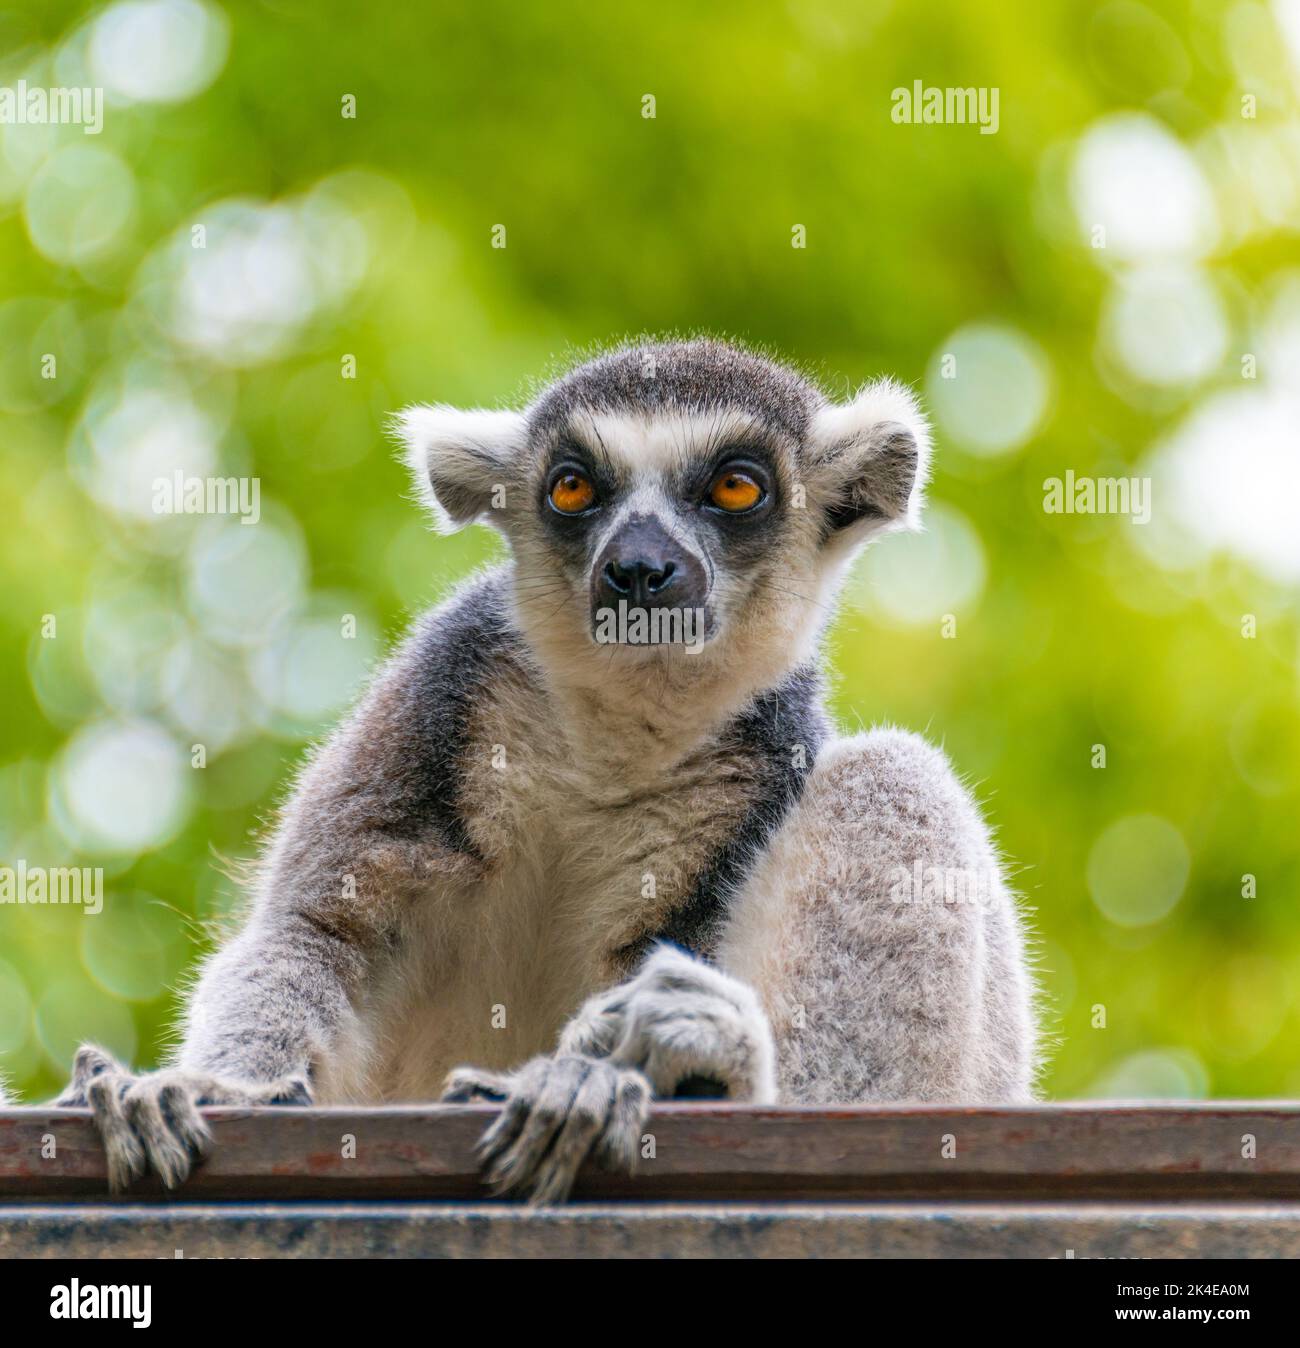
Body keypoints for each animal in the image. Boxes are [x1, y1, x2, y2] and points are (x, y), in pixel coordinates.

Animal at [56, 338, 1039, 1203]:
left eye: (735, 486)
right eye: (573, 488)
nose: (639, 568)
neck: (613, 733)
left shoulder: (763, 758)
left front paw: (590, 1084)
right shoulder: (432, 699)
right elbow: (317, 930)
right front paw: (216, 1090)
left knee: (889, 775)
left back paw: (722, 1064)